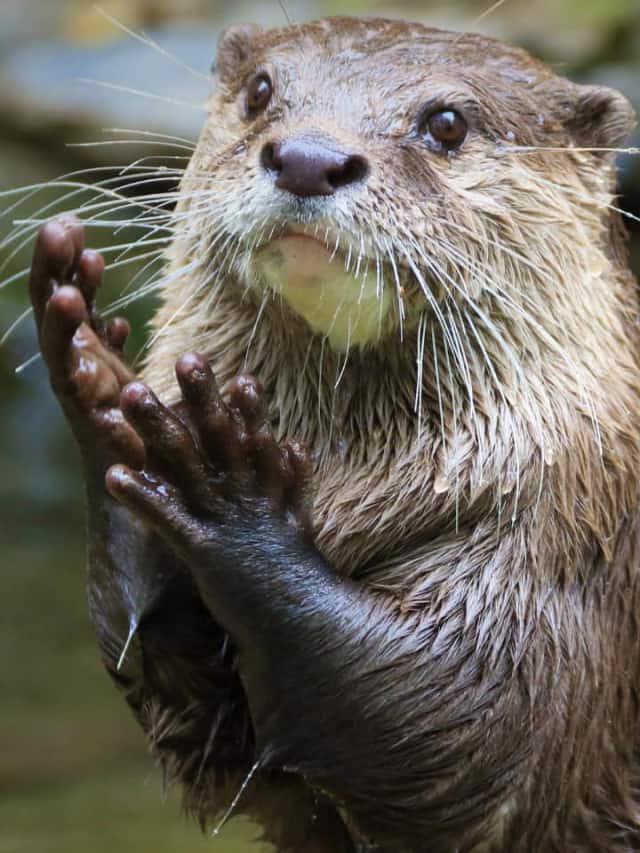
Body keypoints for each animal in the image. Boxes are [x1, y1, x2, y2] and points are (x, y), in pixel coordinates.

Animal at [25, 16, 640, 853]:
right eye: (260, 91)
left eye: (449, 122)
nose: (309, 157)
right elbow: (198, 729)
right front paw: (100, 382)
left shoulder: (568, 550)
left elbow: (469, 730)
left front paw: (234, 504)